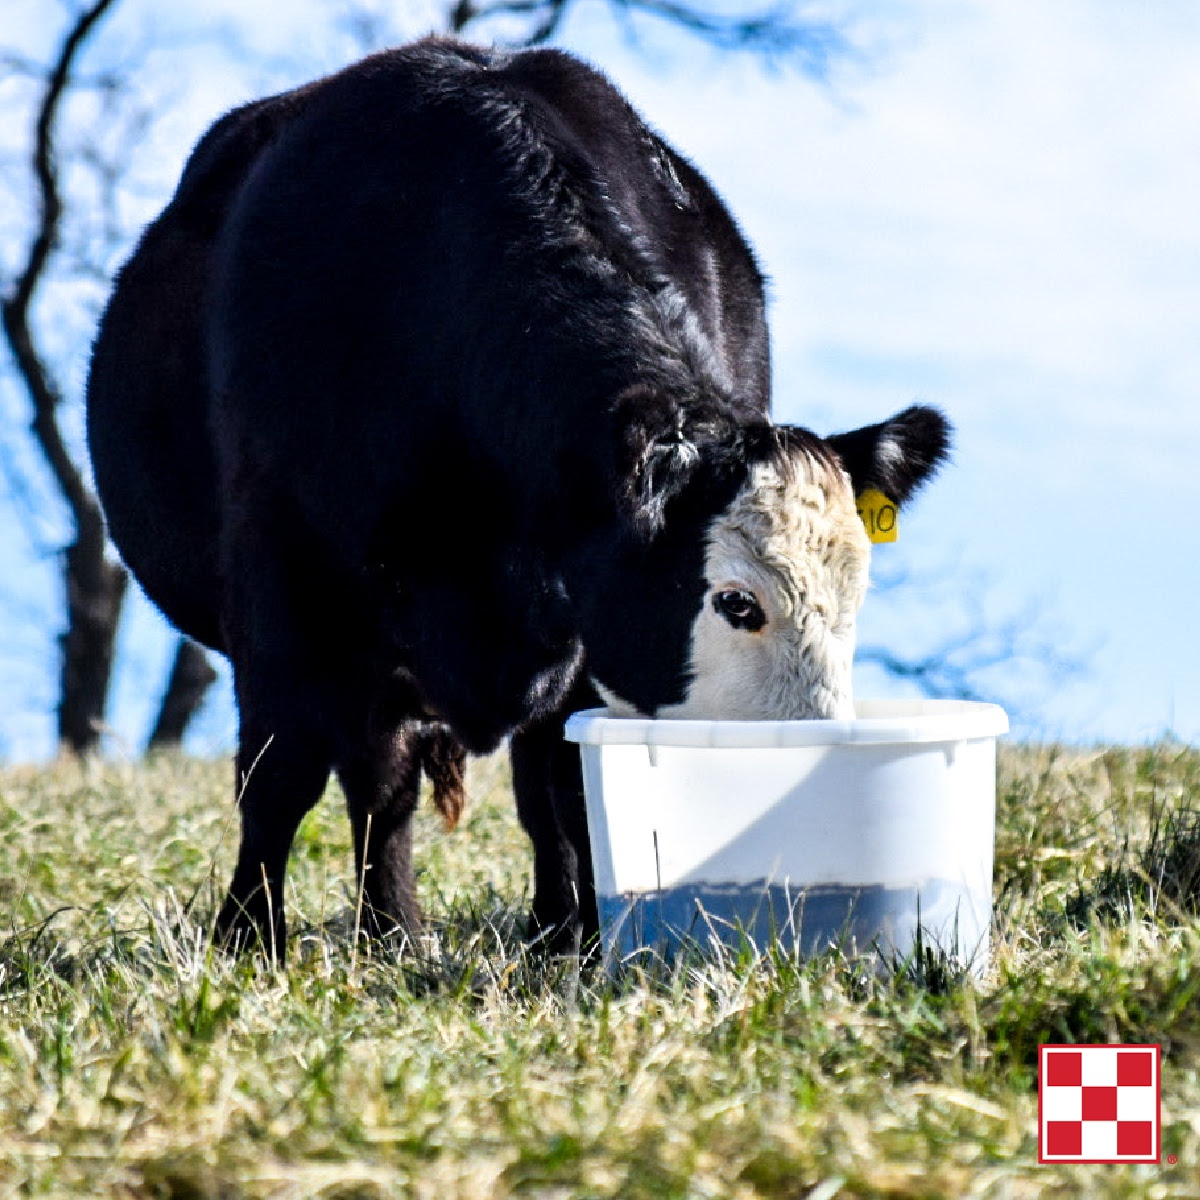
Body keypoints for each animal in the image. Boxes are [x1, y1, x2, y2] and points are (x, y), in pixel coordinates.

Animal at [86, 37, 951, 961]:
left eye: (855, 598)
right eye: (735, 602)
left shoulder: (579, 635)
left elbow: (562, 787)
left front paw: (576, 937)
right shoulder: (287, 589)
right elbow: (281, 777)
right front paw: (249, 938)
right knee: (374, 780)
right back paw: (391, 930)